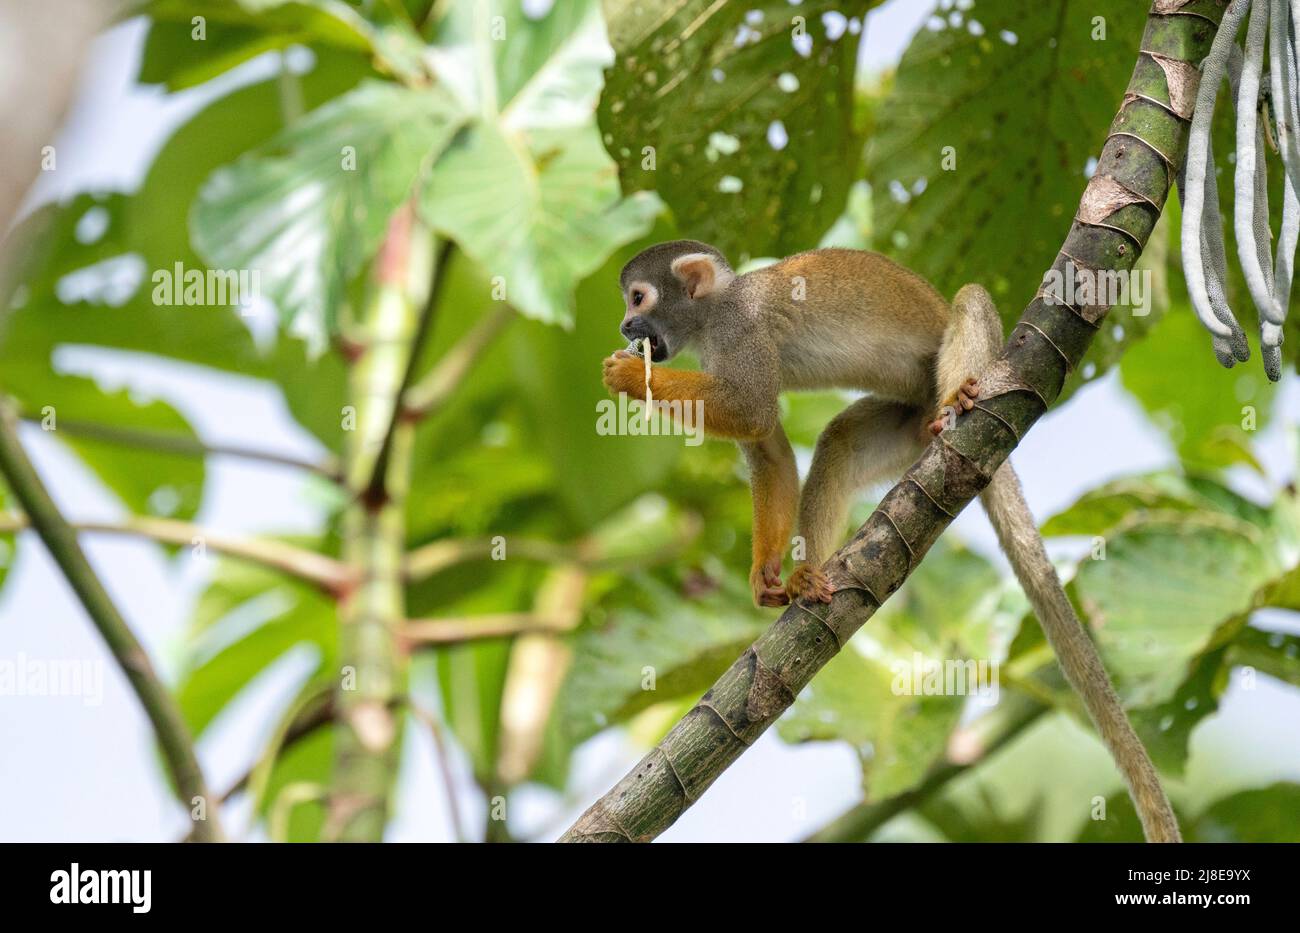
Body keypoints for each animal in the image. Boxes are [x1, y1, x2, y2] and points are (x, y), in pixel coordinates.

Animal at [601, 239, 1181, 843]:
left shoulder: (742, 329)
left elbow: (750, 411)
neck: (713, 312)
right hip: (909, 429)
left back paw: (959, 399)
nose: (624, 326)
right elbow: (767, 444)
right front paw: (764, 571)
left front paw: (628, 376)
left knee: (969, 299)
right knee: (838, 443)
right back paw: (811, 573)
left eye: (638, 298)